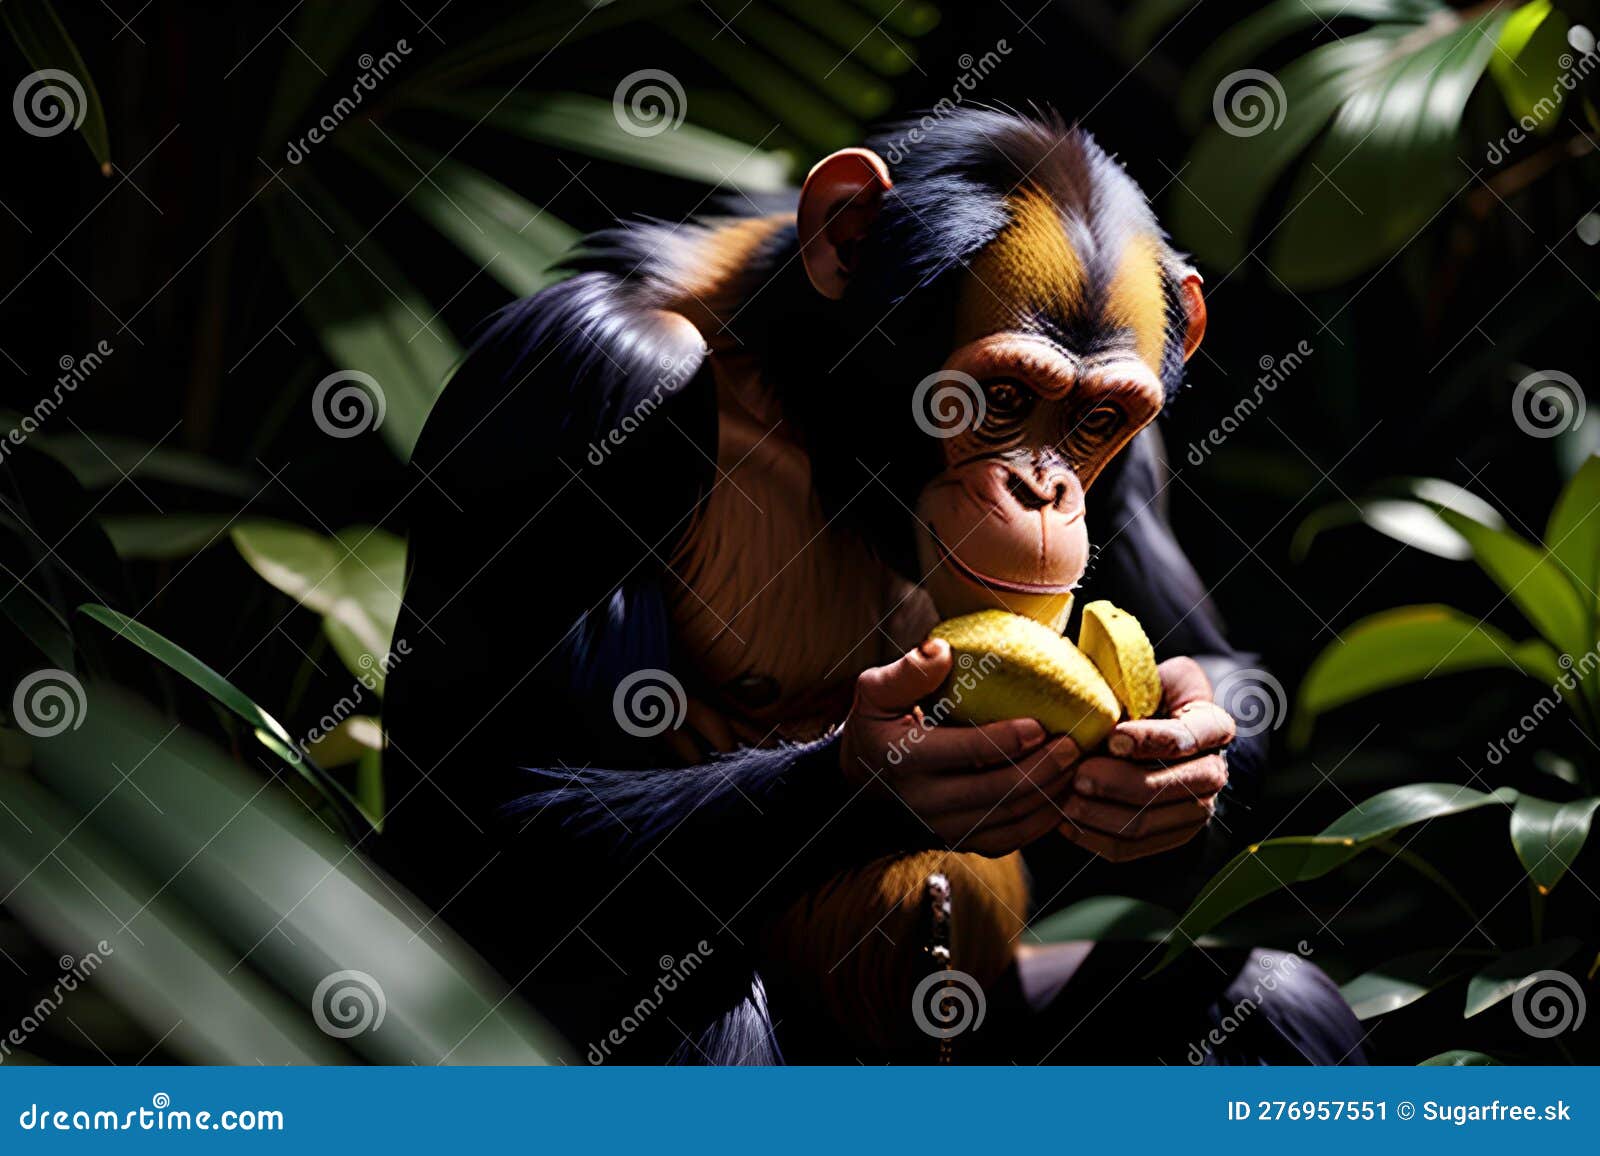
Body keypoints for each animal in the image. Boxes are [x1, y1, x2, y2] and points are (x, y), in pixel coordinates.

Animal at [380, 108, 1366, 1065]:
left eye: (1094, 419)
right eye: (1004, 399)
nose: (1044, 491)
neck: (804, 403)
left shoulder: (1128, 461)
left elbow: (1208, 654)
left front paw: (1175, 768)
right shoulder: (589, 378)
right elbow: (479, 804)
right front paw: (886, 779)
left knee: (1278, 996)